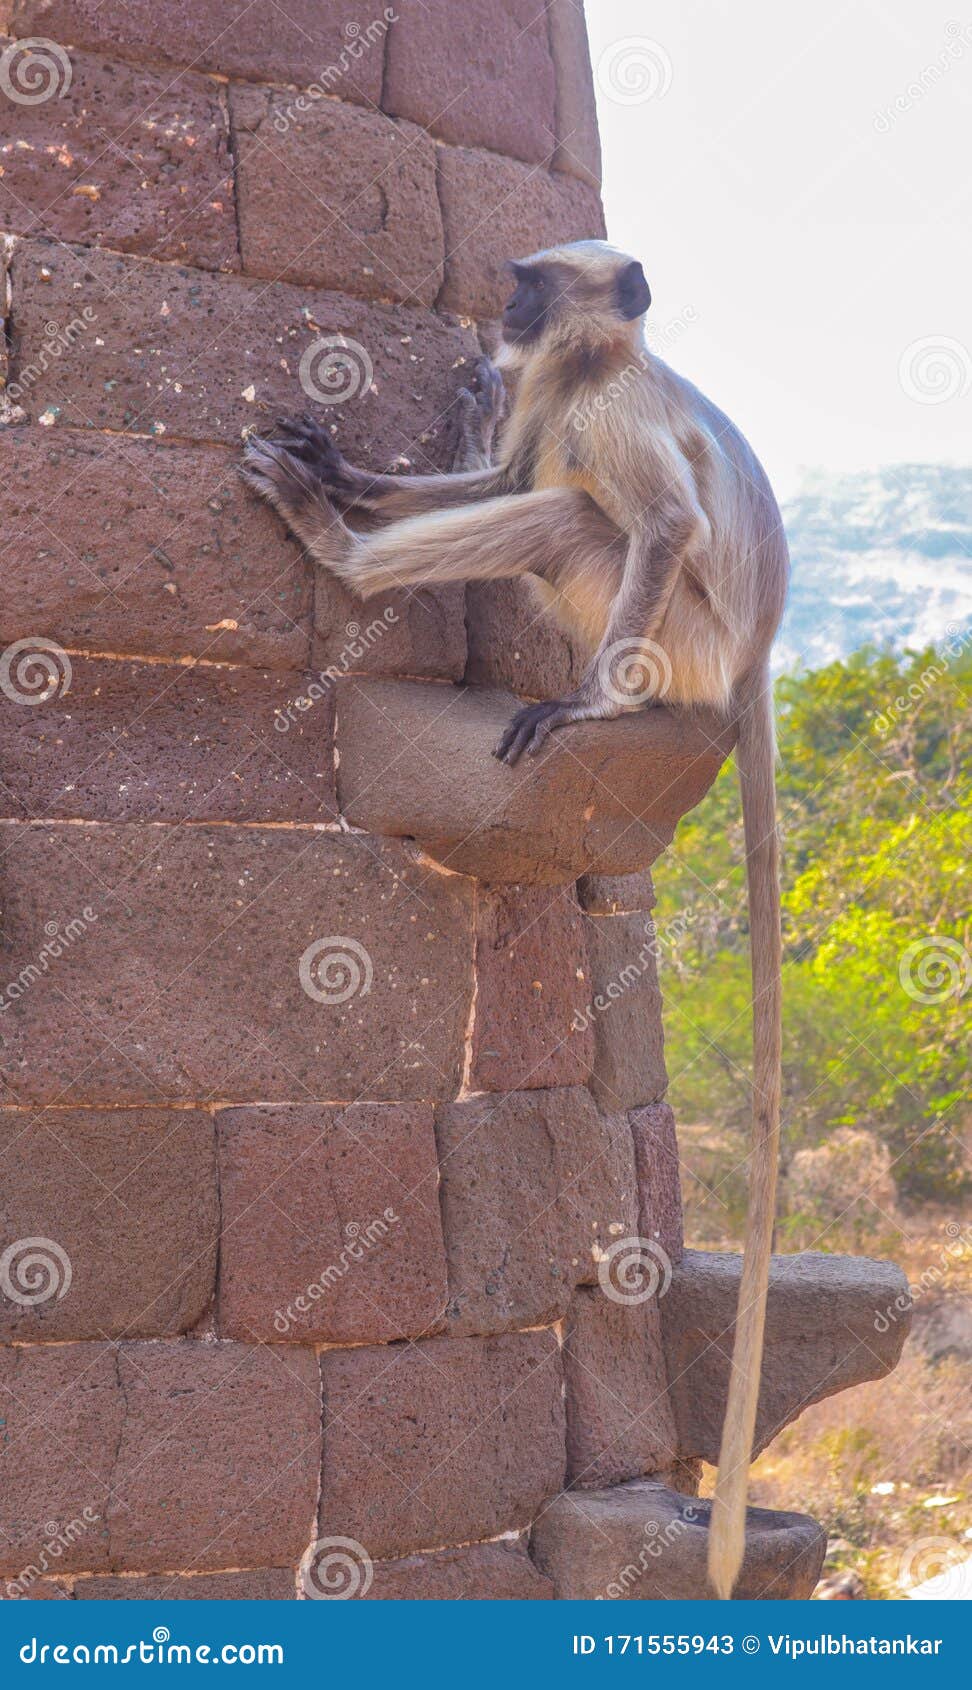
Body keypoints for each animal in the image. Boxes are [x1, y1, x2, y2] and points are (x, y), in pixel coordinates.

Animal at [241, 240, 789, 1600]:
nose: (505, 313)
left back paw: (346, 560)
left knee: (583, 520)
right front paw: (346, 469)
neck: (596, 363)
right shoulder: (556, 396)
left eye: (535, 284)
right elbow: (497, 469)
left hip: (671, 641)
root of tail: (752, 656)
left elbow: (658, 523)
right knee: (545, 501)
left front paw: (580, 703)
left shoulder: (611, 406)